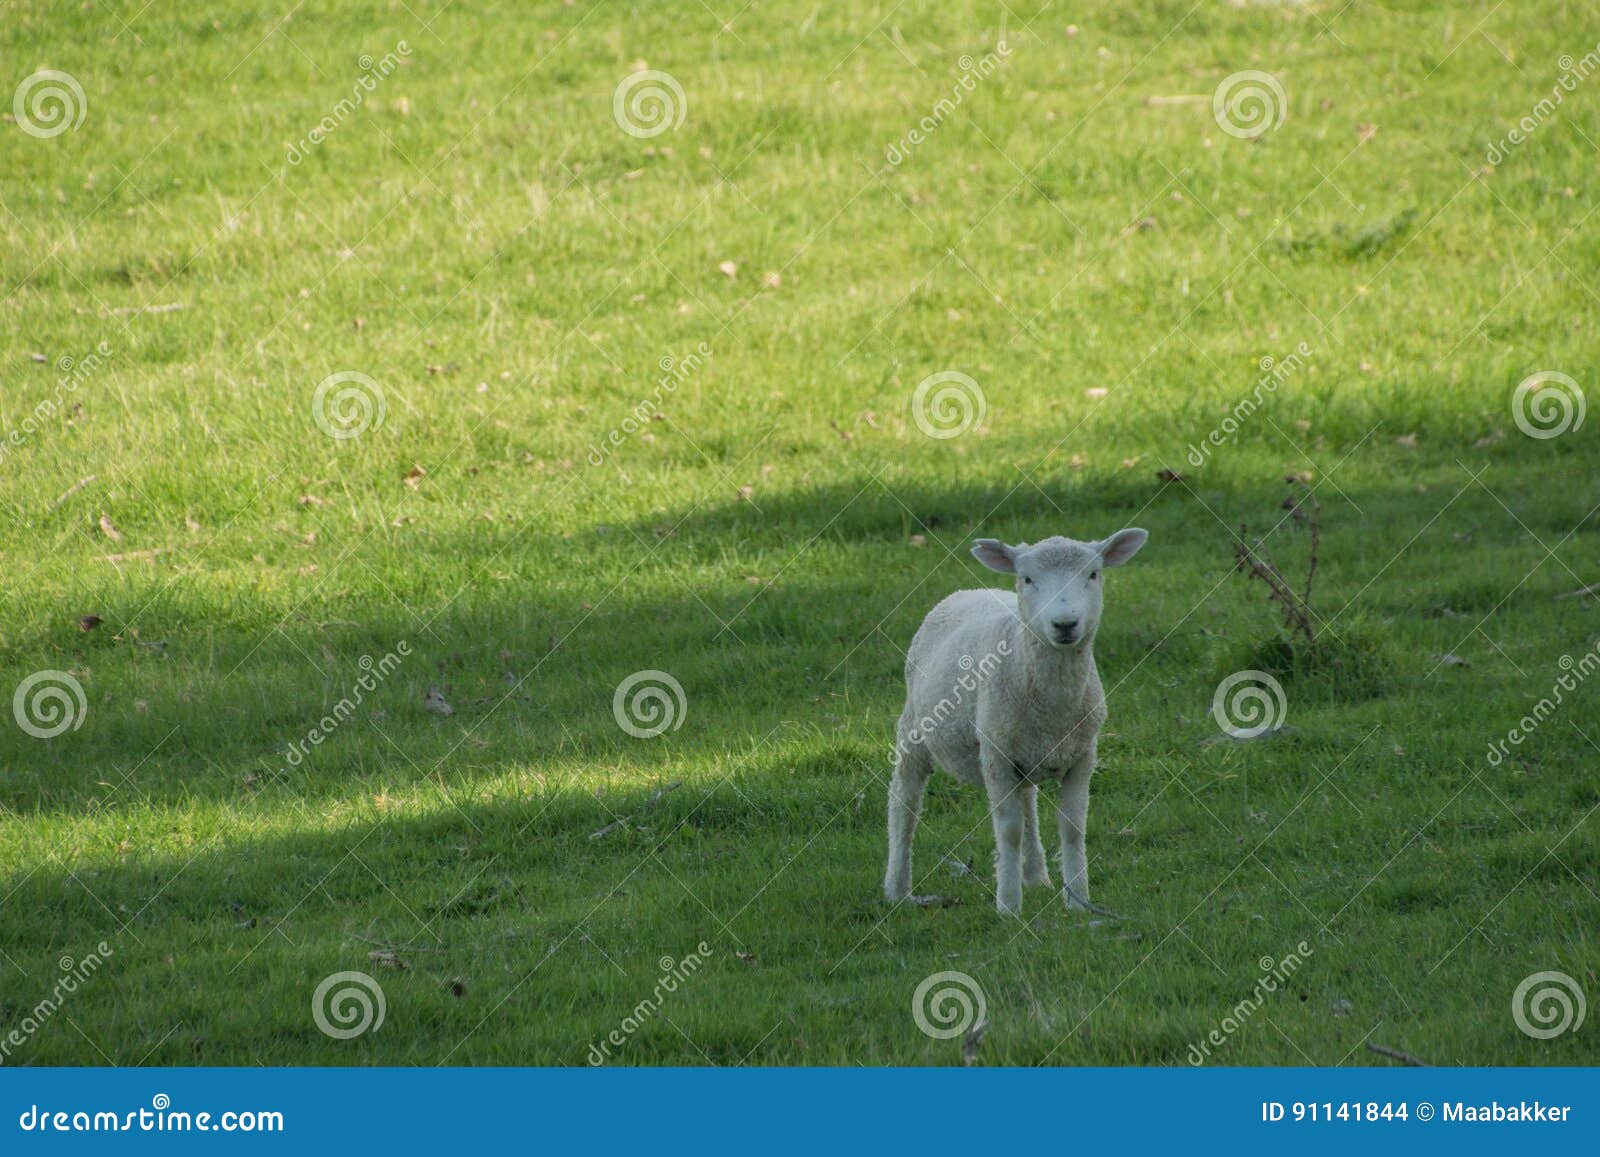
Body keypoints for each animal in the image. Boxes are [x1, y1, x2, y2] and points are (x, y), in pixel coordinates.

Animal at [883, 529, 1148, 915]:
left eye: (1093, 574)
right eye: (1027, 579)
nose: (1065, 624)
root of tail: (967, 591)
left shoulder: (1082, 755)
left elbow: (1072, 827)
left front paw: (1079, 901)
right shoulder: (995, 756)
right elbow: (1008, 831)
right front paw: (1008, 906)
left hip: (1025, 751)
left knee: (1028, 804)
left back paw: (1037, 877)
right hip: (915, 728)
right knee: (905, 802)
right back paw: (897, 889)